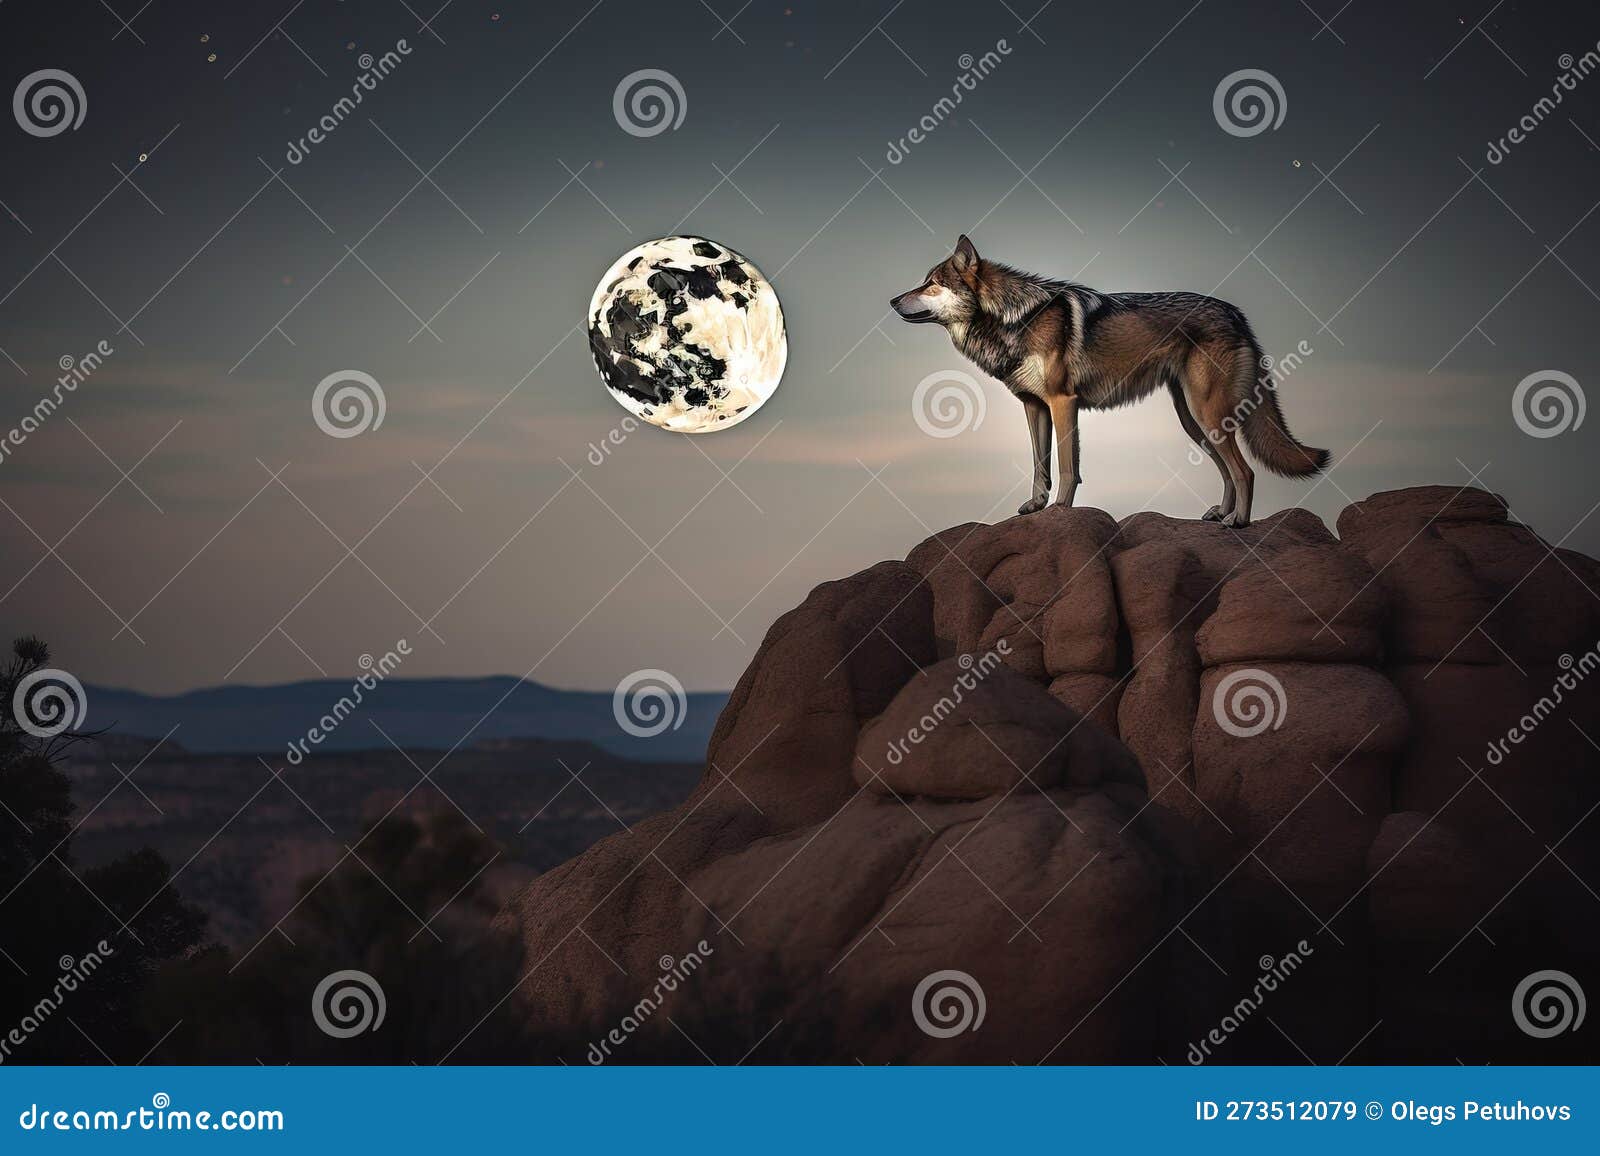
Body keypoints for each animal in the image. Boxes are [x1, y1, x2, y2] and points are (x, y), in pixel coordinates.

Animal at [890, 235, 1328, 527]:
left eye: (932, 283)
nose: (892, 300)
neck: (1014, 319)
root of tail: (1237, 314)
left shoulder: (1063, 402)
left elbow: (1068, 466)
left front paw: (1061, 509)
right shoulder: (1034, 406)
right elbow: (1039, 465)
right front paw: (1036, 506)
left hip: (1207, 417)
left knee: (1245, 471)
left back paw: (1238, 521)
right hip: (1195, 422)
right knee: (1228, 471)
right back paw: (1221, 513)